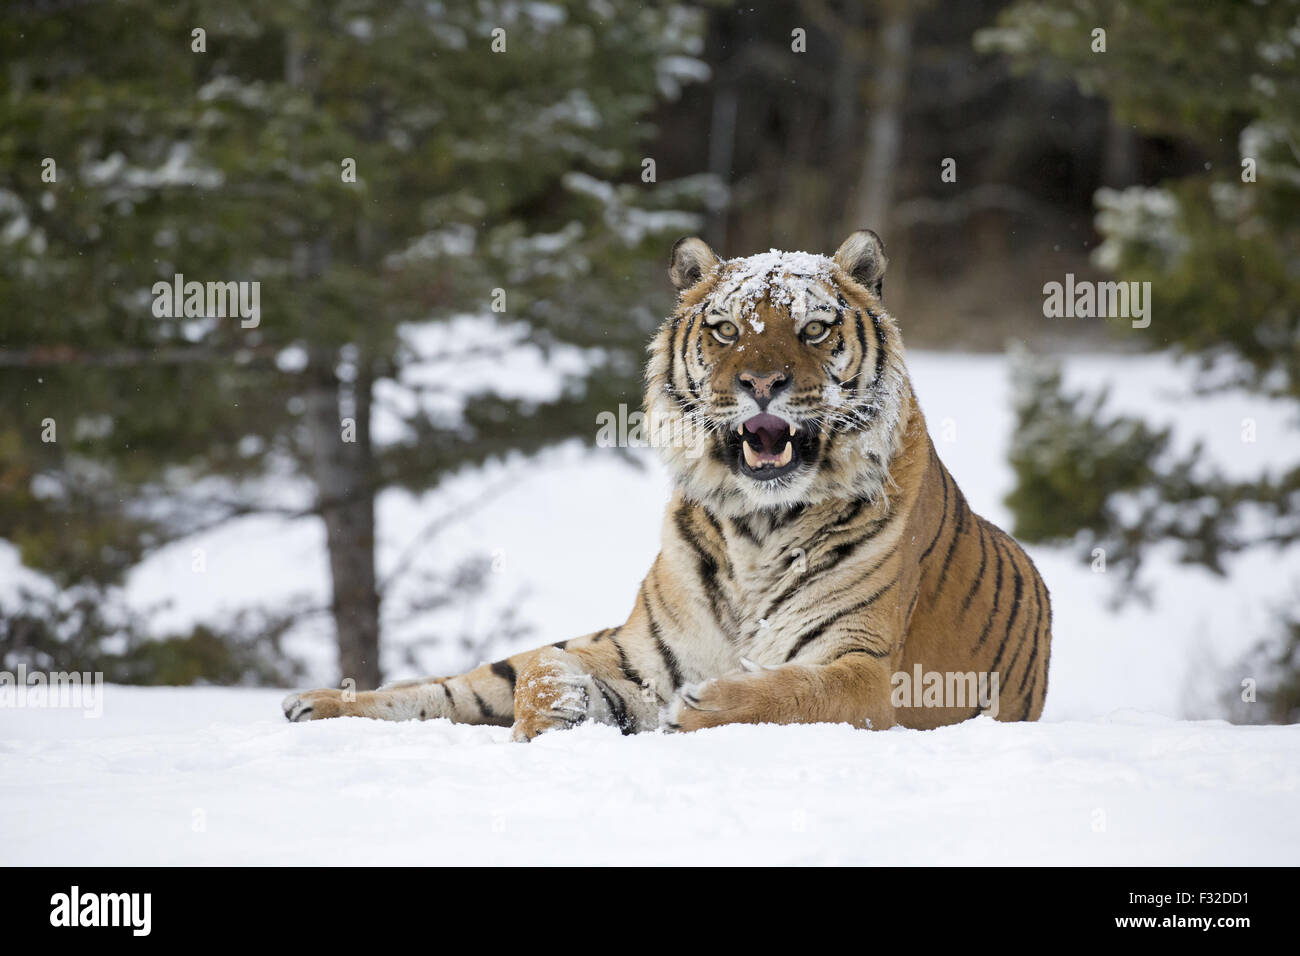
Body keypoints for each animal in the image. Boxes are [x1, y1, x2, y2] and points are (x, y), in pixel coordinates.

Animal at [282, 230, 1052, 739]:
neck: (758, 527)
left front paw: (707, 704)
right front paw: (554, 711)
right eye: (726, 330)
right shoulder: (639, 654)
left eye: (812, 329)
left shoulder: (866, 669)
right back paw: (314, 705)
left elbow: (793, 691)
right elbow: (545, 671)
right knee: (446, 689)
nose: (761, 383)